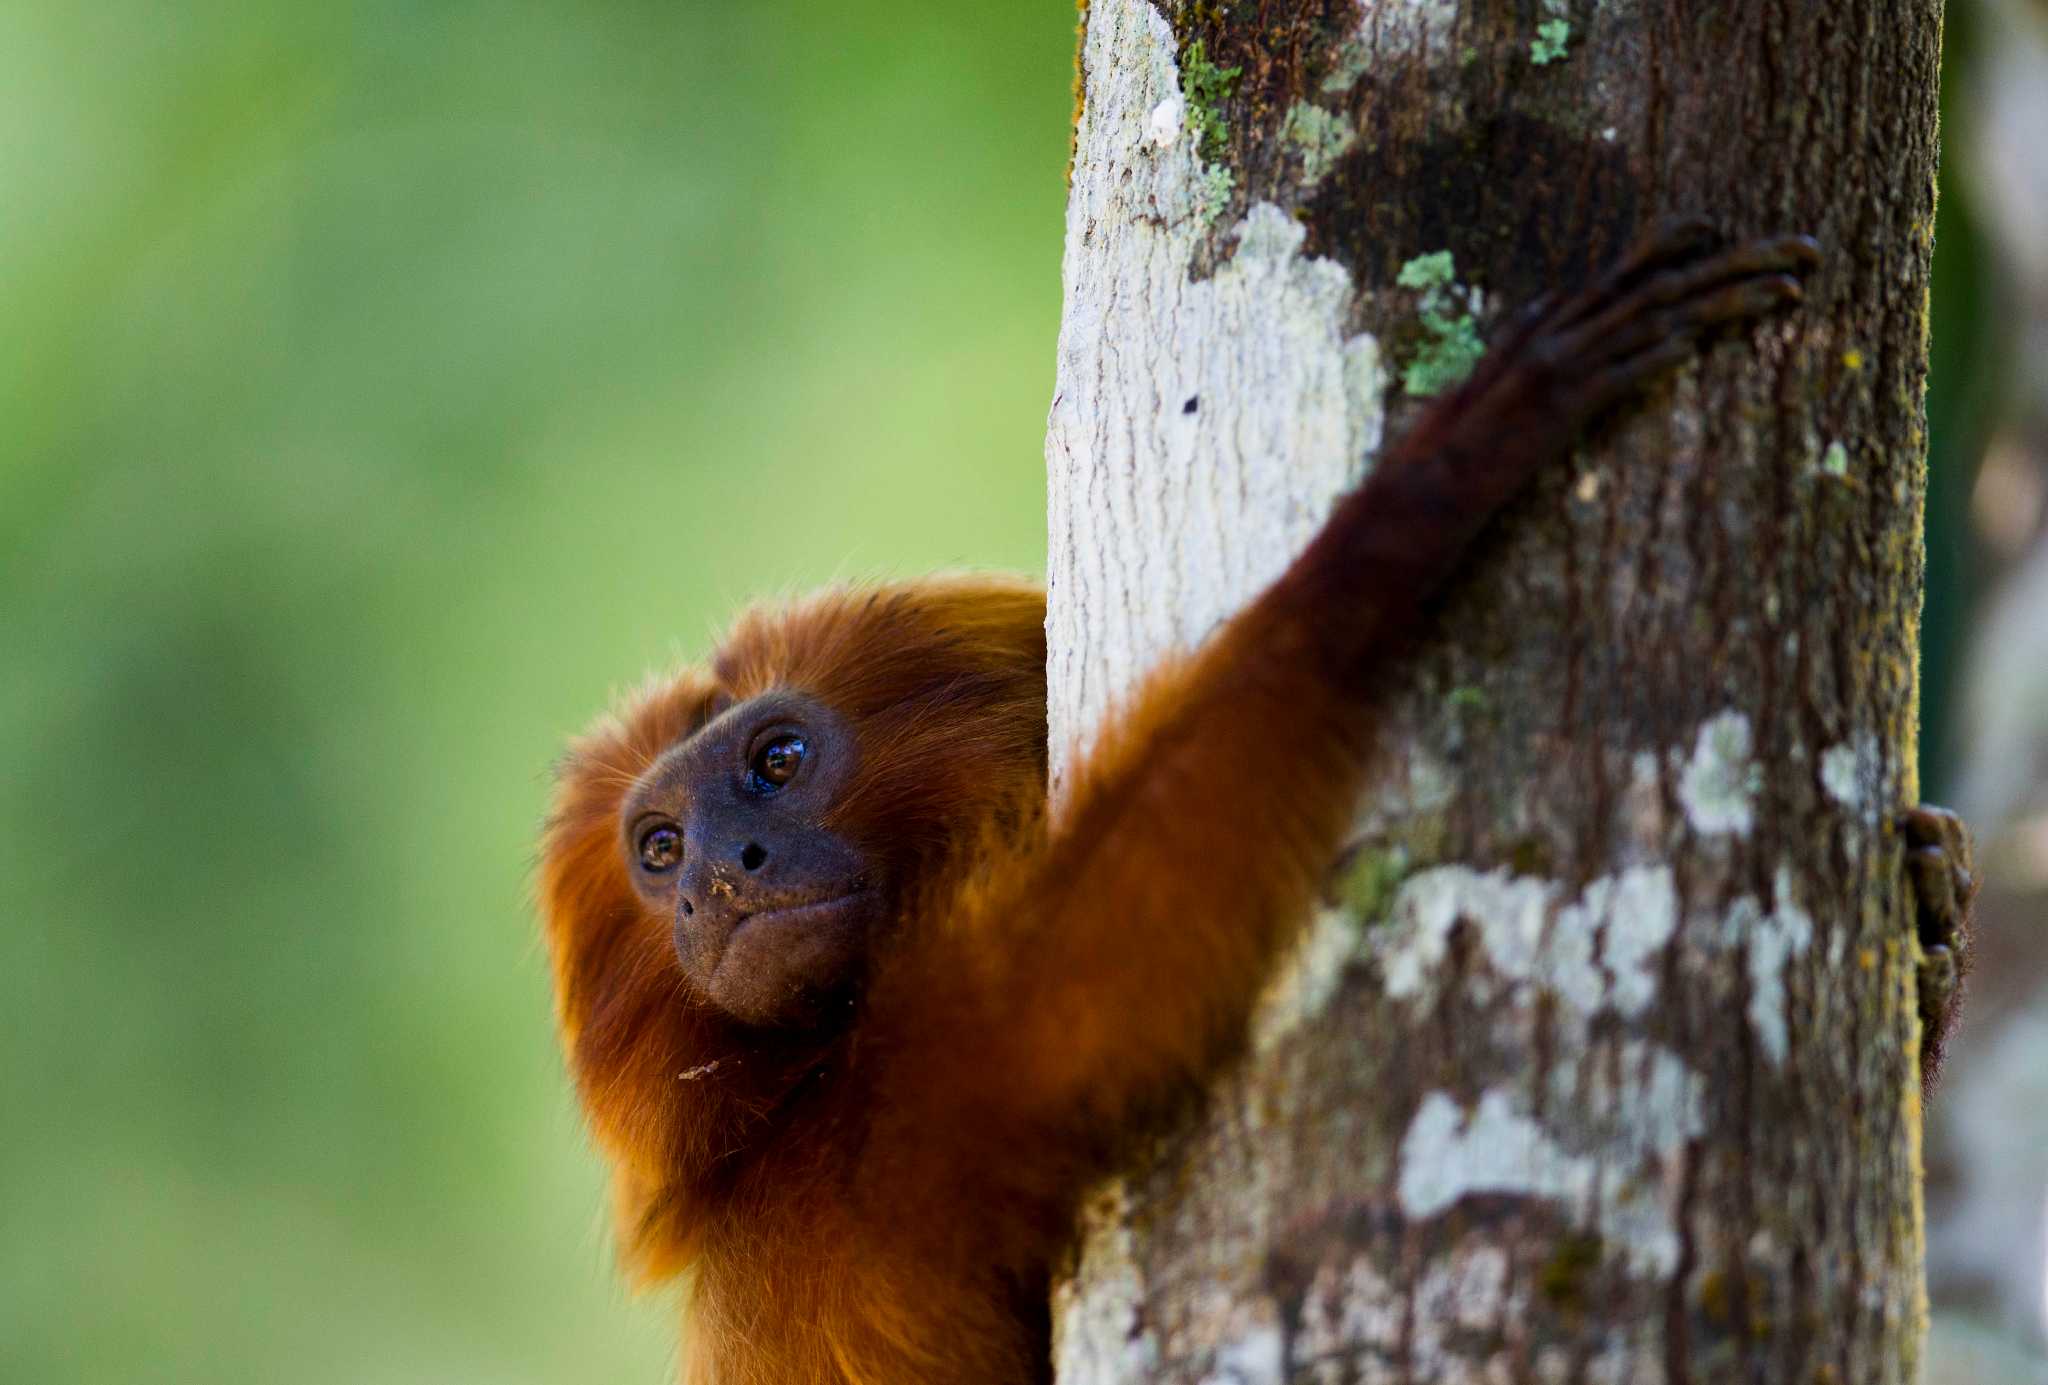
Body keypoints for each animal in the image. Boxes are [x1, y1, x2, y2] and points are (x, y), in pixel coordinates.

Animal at [538, 224, 1972, 1385]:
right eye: (658, 847)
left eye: (776, 763)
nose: (720, 873)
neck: (800, 1091)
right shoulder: (893, 1132)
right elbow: (1093, 981)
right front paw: (1417, 503)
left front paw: (1932, 946)